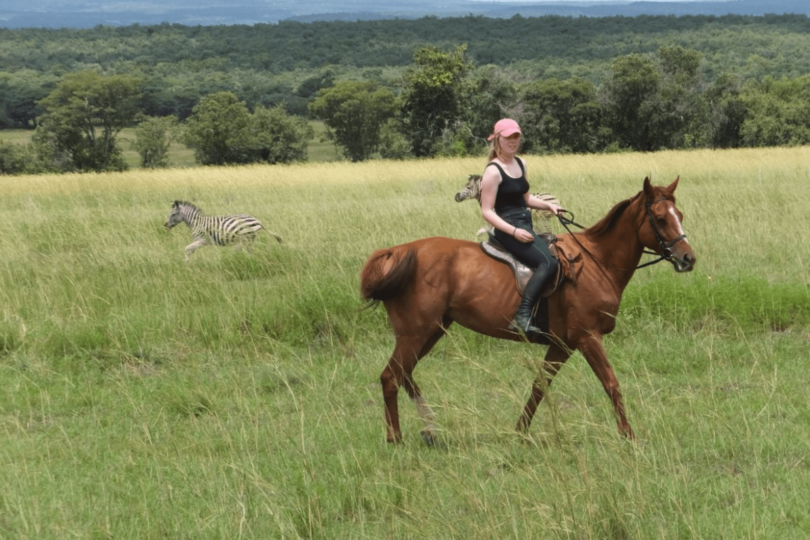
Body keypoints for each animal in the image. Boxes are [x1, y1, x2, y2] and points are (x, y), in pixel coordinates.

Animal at [360, 177, 695, 444]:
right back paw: (395, 437)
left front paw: (520, 431)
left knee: (404, 375)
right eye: (660, 219)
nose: (688, 258)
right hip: (415, 333)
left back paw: (429, 429)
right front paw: (628, 436)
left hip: (431, 331)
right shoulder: (587, 337)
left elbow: (539, 386)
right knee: (390, 377)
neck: (596, 261)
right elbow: (611, 384)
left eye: (679, 215)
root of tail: (398, 252)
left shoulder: (563, 345)